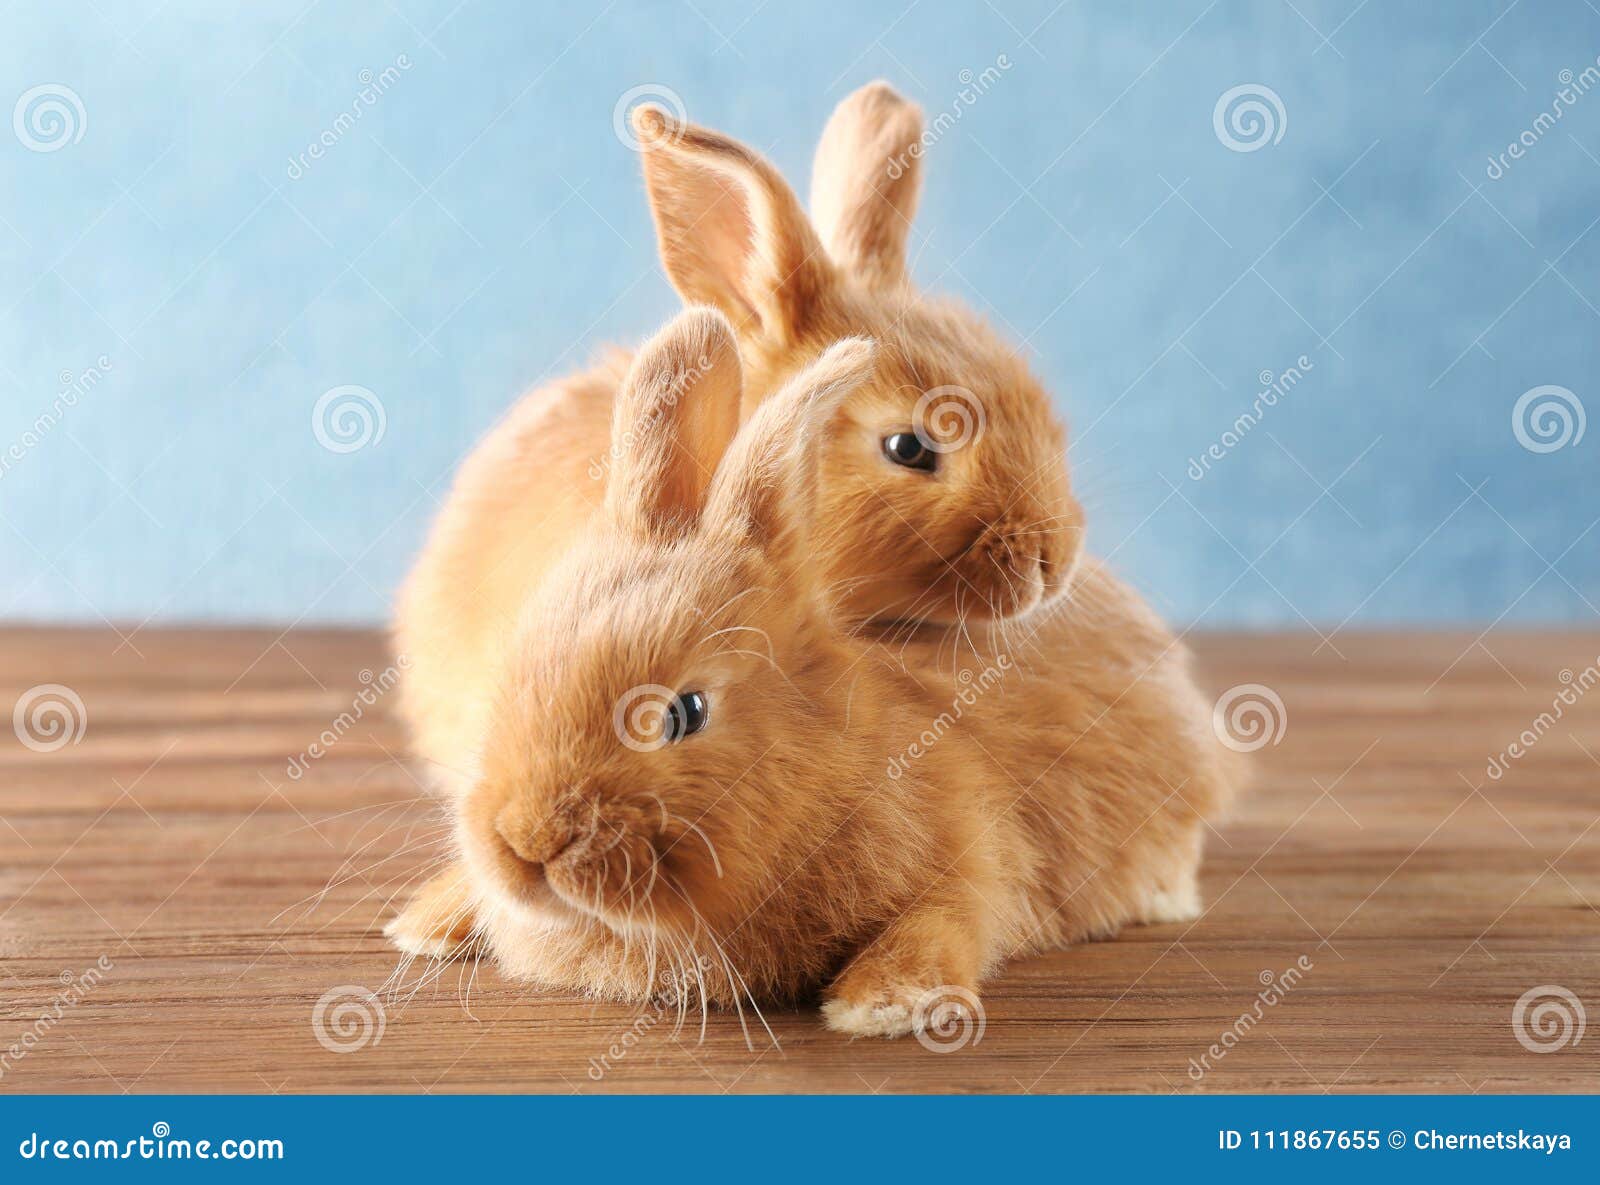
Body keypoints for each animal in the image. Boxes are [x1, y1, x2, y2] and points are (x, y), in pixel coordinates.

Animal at [386, 309, 1239, 1039]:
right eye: (516, 670)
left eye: (682, 713)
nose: (527, 841)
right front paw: (428, 923)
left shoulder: (974, 855)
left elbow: (949, 918)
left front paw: (885, 1005)